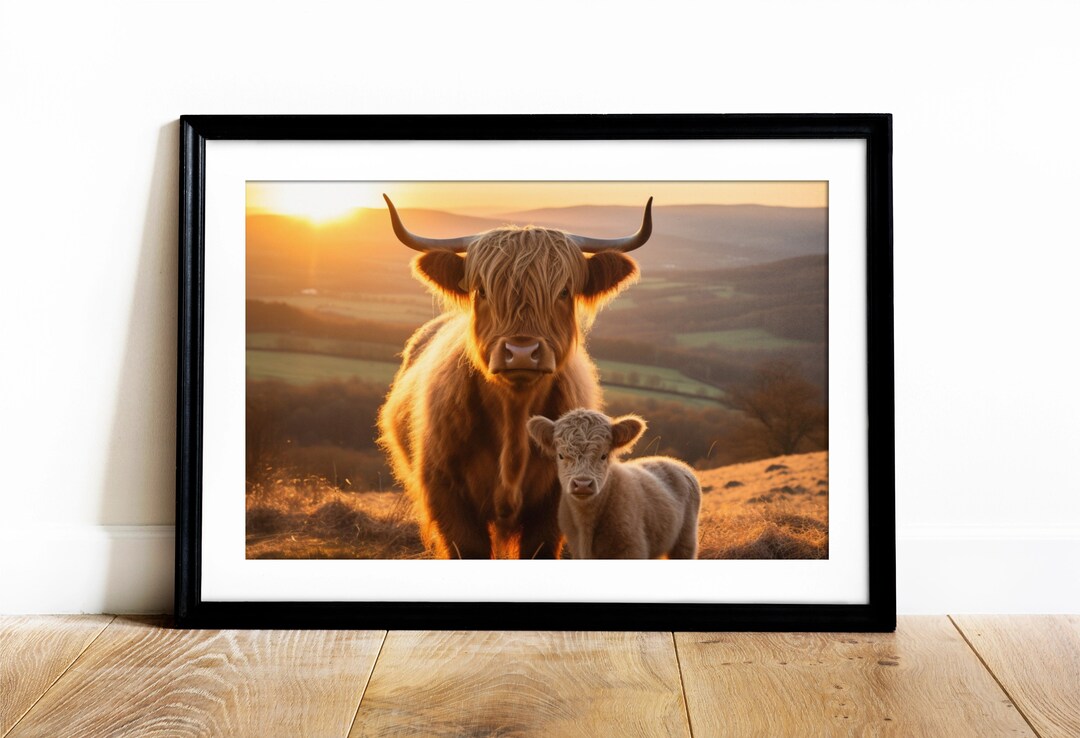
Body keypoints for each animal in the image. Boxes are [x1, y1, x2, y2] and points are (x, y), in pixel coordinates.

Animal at [376, 194, 652, 558]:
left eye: (564, 291)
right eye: (481, 291)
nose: (522, 351)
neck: (514, 414)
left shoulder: (555, 502)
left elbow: (540, 548)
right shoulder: (446, 495)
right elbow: (467, 548)